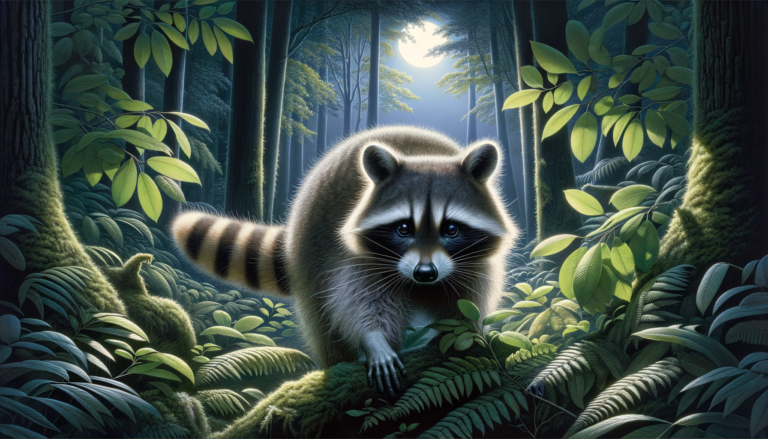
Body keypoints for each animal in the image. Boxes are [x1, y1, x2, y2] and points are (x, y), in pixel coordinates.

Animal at [172, 126, 517, 394]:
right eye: (404, 228)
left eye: (451, 229)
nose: (425, 273)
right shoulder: (358, 259)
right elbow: (358, 306)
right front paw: (374, 340)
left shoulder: (474, 266)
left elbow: (466, 302)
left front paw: (465, 331)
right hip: (310, 261)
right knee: (326, 323)